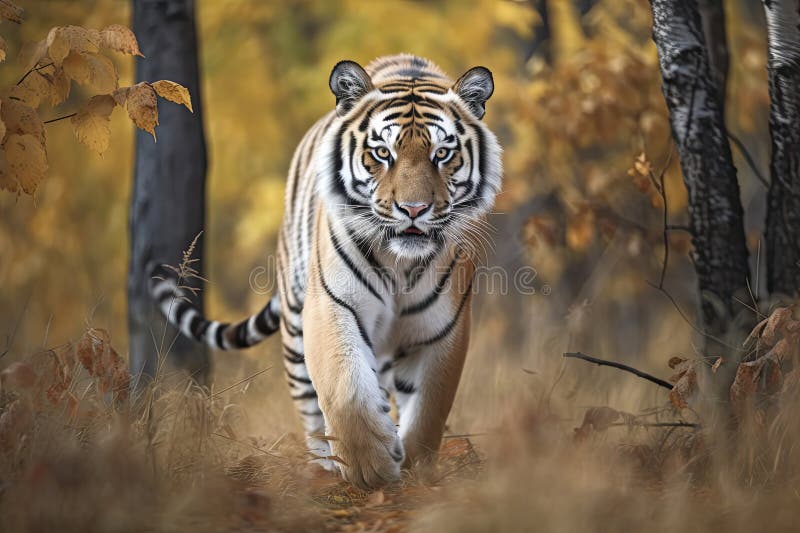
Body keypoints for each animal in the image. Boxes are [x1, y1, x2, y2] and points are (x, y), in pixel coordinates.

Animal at [150, 54, 502, 489]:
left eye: (442, 153)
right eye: (382, 152)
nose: (414, 209)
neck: (400, 264)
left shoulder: (442, 327)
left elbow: (428, 413)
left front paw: (413, 468)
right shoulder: (332, 304)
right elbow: (345, 388)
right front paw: (371, 468)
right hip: (295, 327)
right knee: (312, 410)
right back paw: (325, 468)